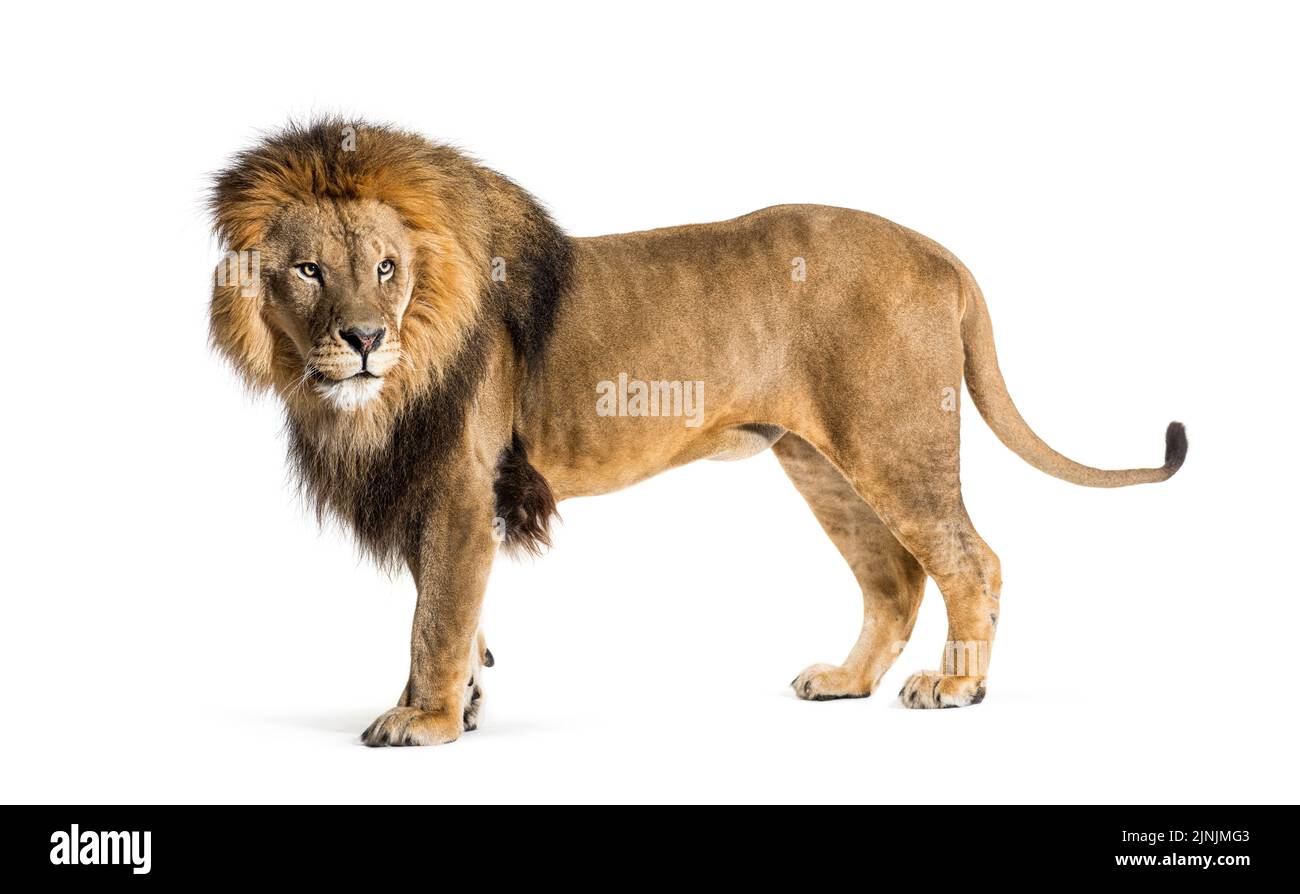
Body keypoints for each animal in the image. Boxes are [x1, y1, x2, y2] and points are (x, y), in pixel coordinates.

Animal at [209, 119, 1186, 745]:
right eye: (309, 270)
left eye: (385, 268)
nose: (365, 339)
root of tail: (941, 252)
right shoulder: (440, 491)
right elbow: (452, 611)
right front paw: (462, 703)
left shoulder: (460, 484)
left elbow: (437, 615)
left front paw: (427, 722)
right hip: (819, 460)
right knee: (896, 577)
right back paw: (845, 682)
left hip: (893, 442)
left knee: (972, 559)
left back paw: (959, 684)